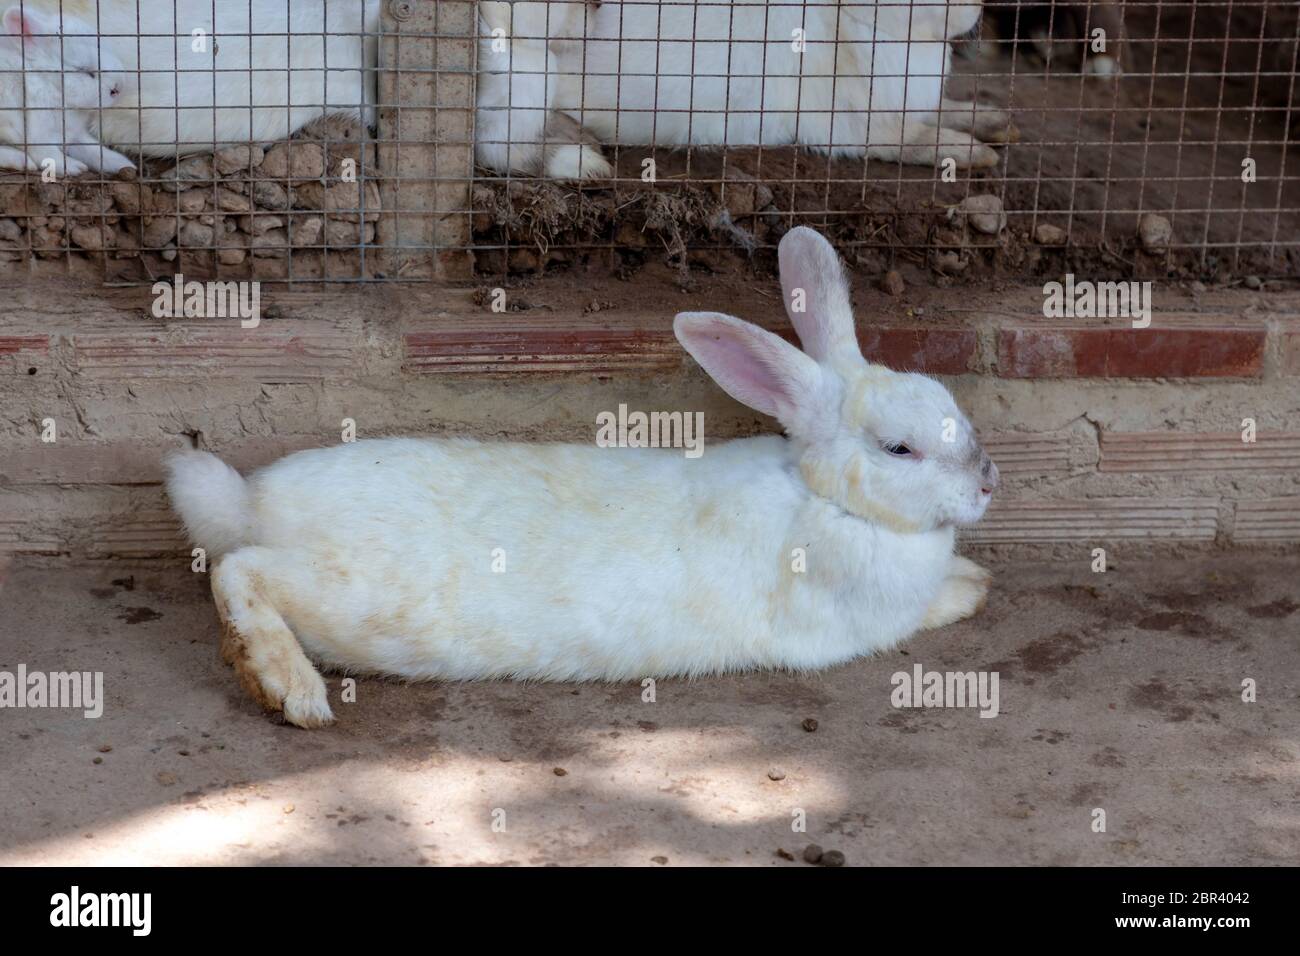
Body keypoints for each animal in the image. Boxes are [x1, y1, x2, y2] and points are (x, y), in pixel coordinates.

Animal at [0, 5, 136, 175]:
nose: (118, 88)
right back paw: (21, 160)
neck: (50, 83)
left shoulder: (74, 134)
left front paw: (123, 164)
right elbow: (49, 155)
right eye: (83, 70)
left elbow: (93, 150)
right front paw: (74, 167)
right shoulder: (38, 132)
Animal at [165, 227, 998, 728]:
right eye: (899, 449)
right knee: (240, 573)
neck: (825, 499)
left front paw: (976, 572)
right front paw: (975, 587)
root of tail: (250, 504)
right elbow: (933, 604)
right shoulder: (866, 615)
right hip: (345, 593)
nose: (988, 482)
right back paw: (289, 688)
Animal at [475, 0, 1013, 180]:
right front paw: (972, 153)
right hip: (531, 70)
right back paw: (582, 161)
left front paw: (995, 122)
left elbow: (944, 109)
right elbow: (915, 138)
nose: (979, 7)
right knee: (499, 148)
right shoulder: (852, 125)